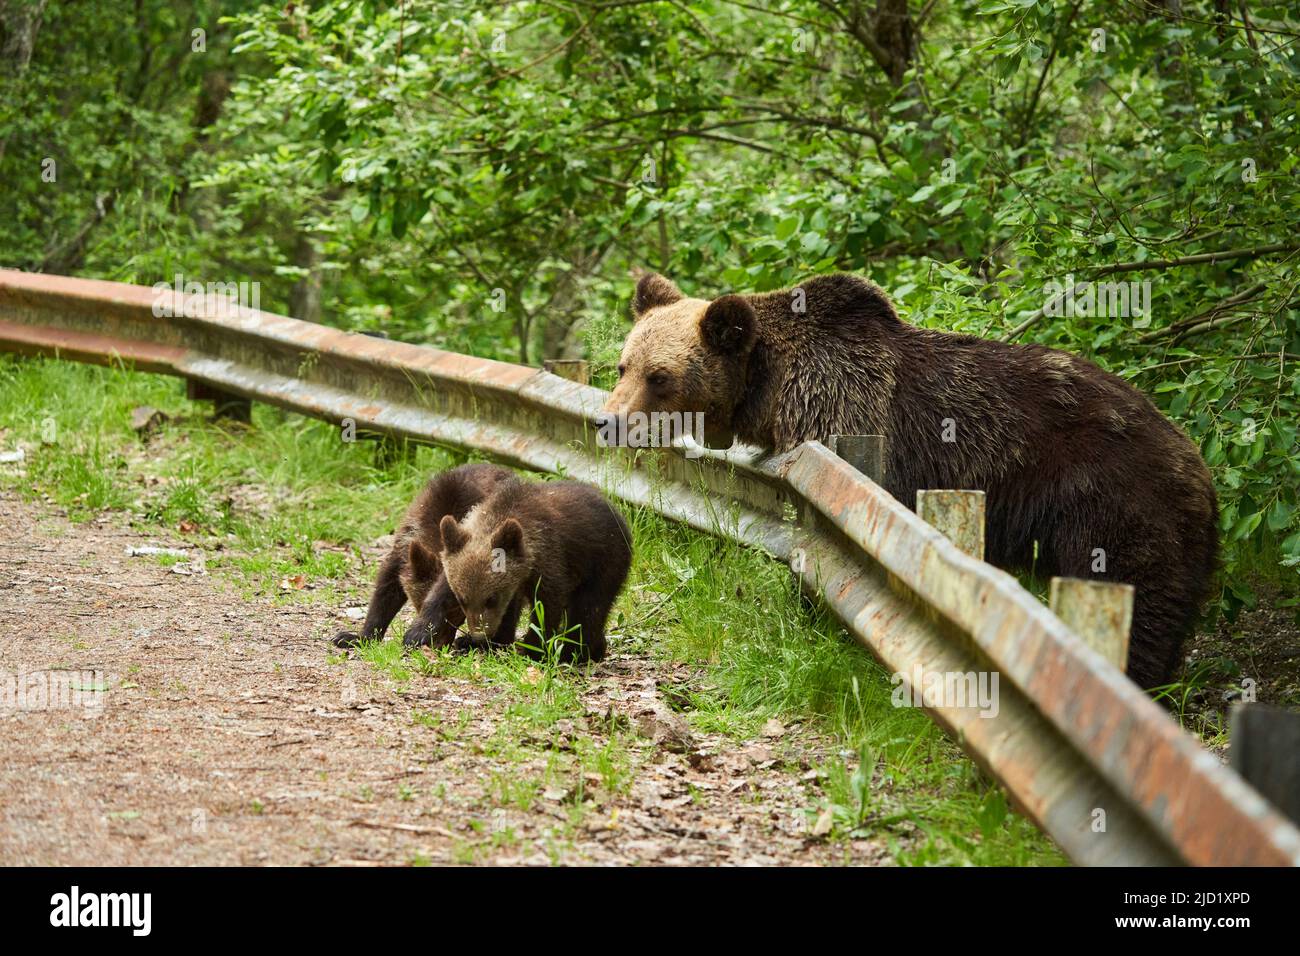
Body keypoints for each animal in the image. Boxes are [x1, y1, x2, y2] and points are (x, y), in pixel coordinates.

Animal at [332, 462, 516, 650]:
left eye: (456, 612)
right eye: (418, 604)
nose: (440, 645)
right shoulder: (404, 545)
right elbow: (385, 590)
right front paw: (355, 637)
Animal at [438, 478, 633, 664]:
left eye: (491, 598)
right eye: (462, 599)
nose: (479, 636)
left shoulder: (549, 559)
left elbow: (547, 605)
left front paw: (533, 649)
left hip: (604, 559)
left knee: (590, 607)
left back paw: (576, 651)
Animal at [602, 271, 1219, 689]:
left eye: (659, 376)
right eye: (624, 365)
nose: (609, 421)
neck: (771, 391)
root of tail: (1198, 461)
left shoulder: (846, 418)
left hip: (1114, 502)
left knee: (1139, 596)